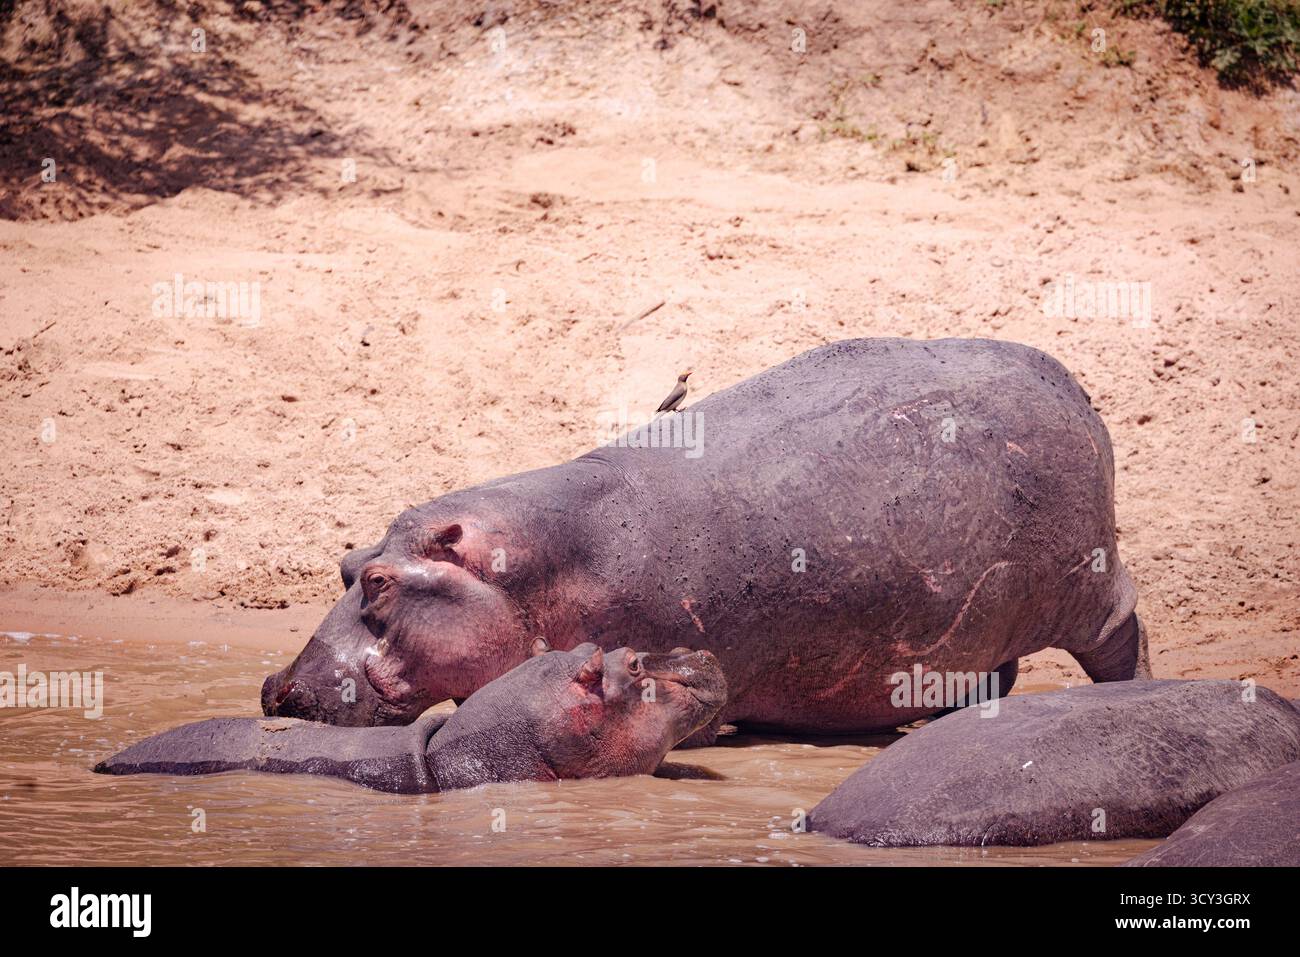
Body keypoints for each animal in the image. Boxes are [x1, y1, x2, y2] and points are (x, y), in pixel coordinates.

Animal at [263, 337, 1148, 737]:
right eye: (345, 560)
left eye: (380, 582)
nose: (277, 686)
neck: (539, 560)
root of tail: (1068, 380)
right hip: (979, 618)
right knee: (992, 670)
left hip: (1090, 587)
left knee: (1122, 636)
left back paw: (1132, 695)